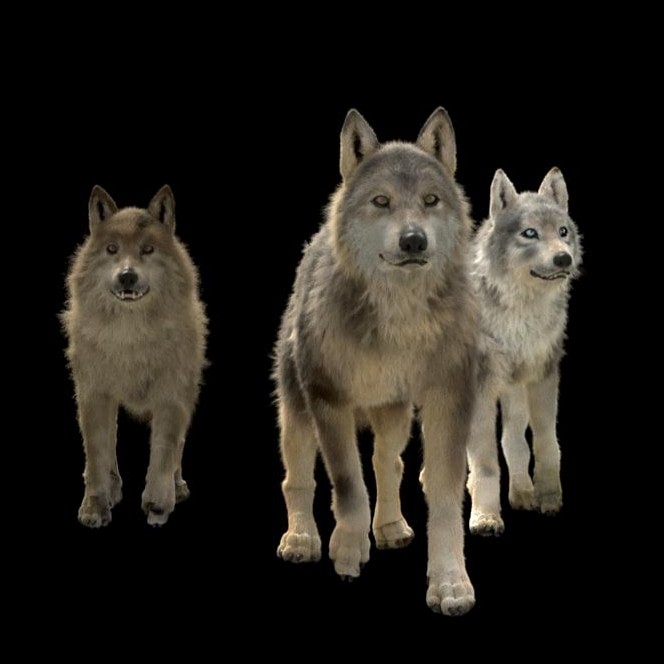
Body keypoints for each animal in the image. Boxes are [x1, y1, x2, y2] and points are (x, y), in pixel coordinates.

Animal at [61, 185, 208, 528]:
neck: (130, 336)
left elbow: (164, 451)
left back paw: (177, 487)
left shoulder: (170, 397)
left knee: (178, 448)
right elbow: (98, 453)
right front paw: (95, 506)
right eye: (112, 249)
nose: (127, 276)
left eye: (148, 250)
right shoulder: (94, 394)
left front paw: (158, 503)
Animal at [273, 108, 478, 616]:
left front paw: (450, 584)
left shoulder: (450, 400)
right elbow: (348, 485)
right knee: (296, 480)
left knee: (389, 464)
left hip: (395, 415)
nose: (413, 240)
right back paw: (301, 539)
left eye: (430, 200)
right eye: (381, 201)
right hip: (297, 410)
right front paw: (347, 551)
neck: (399, 321)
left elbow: (444, 495)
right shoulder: (328, 399)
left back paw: (390, 528)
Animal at [466, 168, 582, 536]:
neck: (521, 315)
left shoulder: (543, 376)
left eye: (562, 232)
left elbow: (545, 444)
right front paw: (486, 517)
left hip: (514, 392)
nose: (564, 258)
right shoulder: (480, 391)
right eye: (529, 233)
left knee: (513, 439)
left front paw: (548, 498)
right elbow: (486, 463)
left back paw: (522, 492)